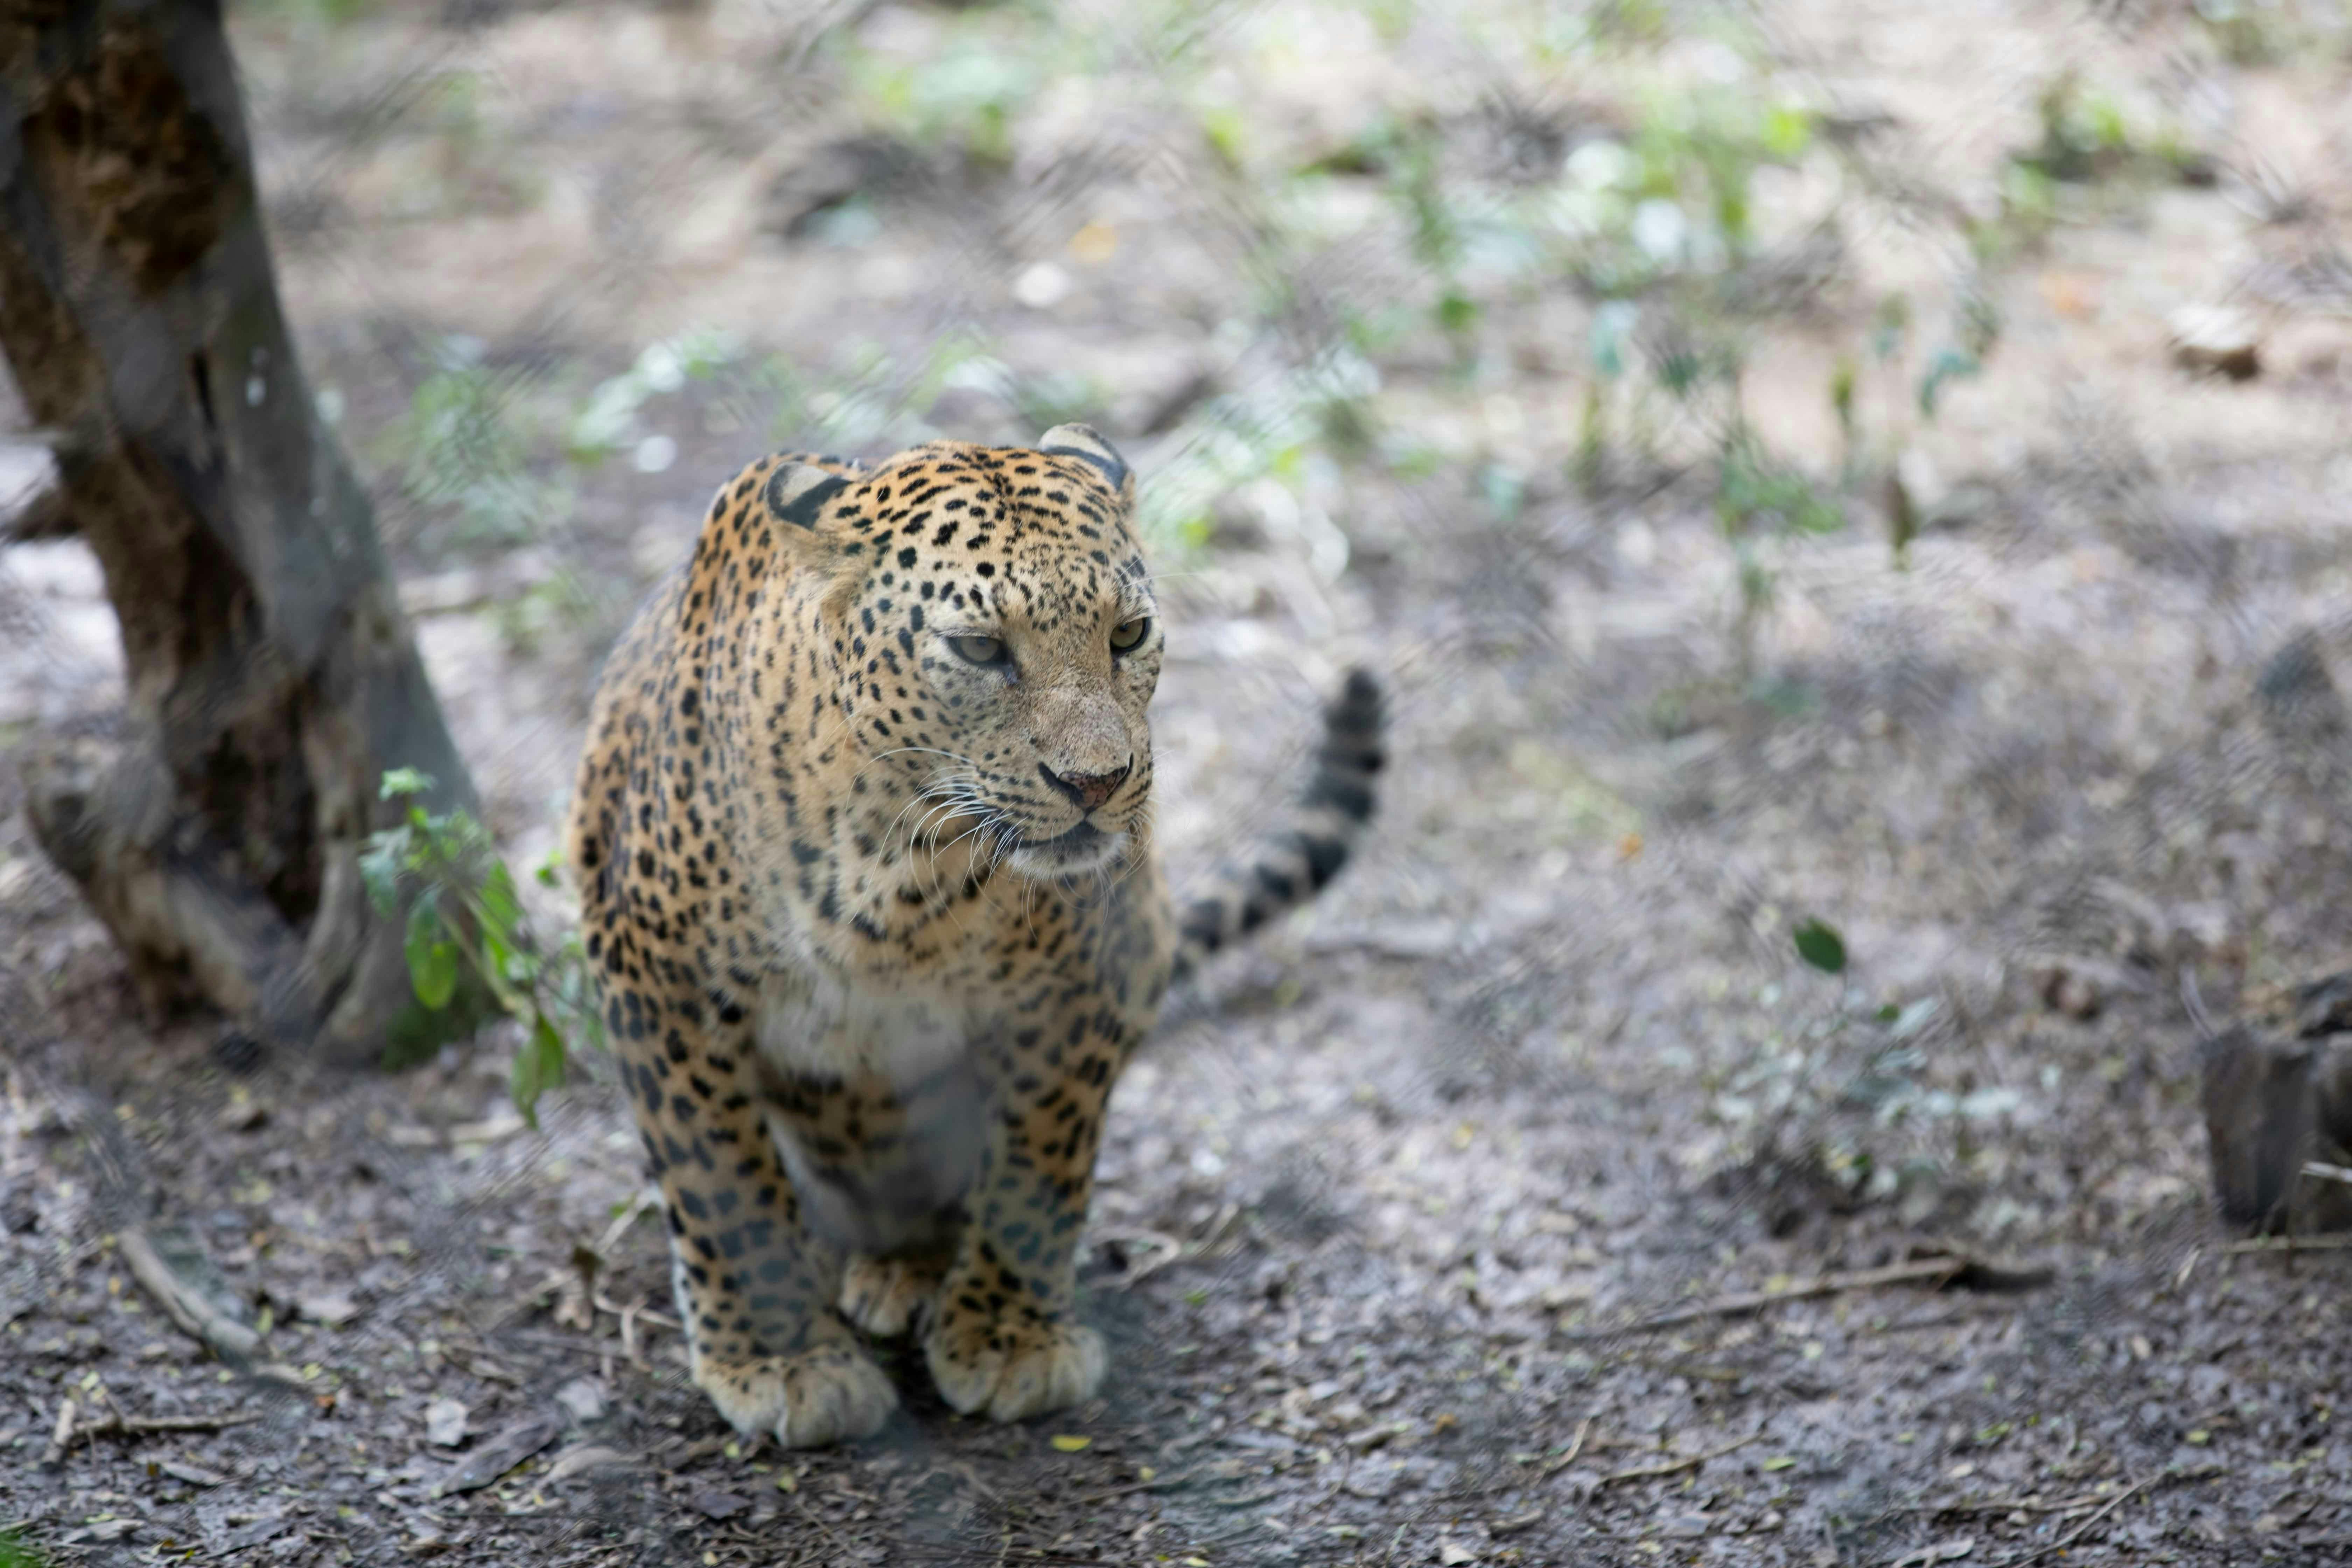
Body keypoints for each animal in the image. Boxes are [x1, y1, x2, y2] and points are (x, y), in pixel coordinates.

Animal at [565, 423, 1384, 1447]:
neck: (897, 864)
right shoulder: (658, 980)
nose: (1097, 782)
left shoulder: (1084, 984)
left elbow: (1040, 1164)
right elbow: (722, 1183)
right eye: (980, 649)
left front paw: (1008, 1338)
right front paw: (780, 1359)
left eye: (1127, 634)